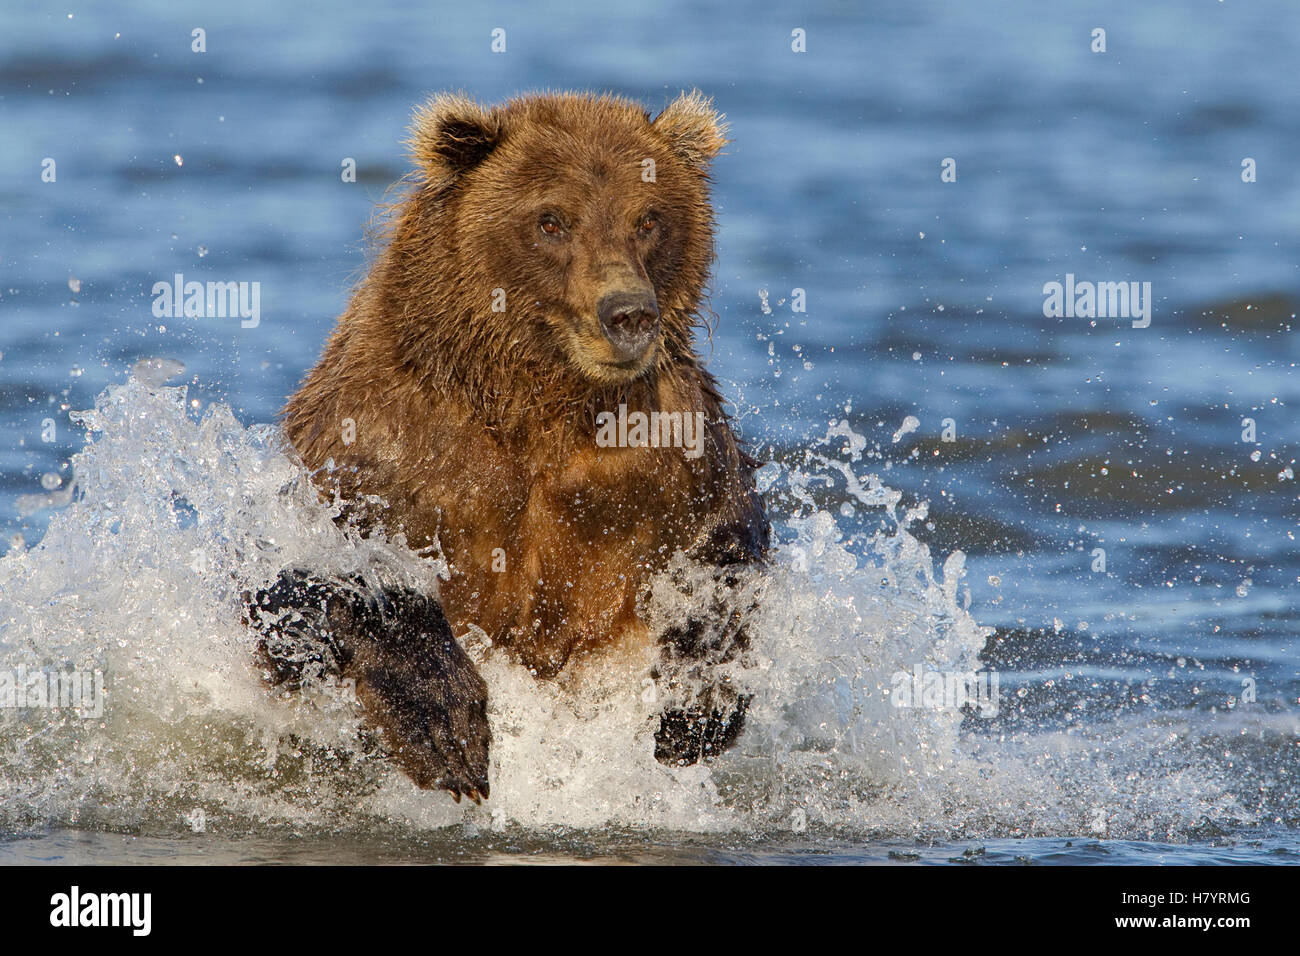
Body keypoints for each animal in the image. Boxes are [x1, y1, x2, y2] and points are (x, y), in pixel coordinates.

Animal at [246, 90, 769, 802]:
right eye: (552, 221)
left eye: (647, 218)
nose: (628, 313)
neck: (540, 402)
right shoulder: (388, 444)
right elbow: (319, 576)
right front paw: (447, 728)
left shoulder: (665, 454)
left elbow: (722, 548)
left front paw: (693, 712)